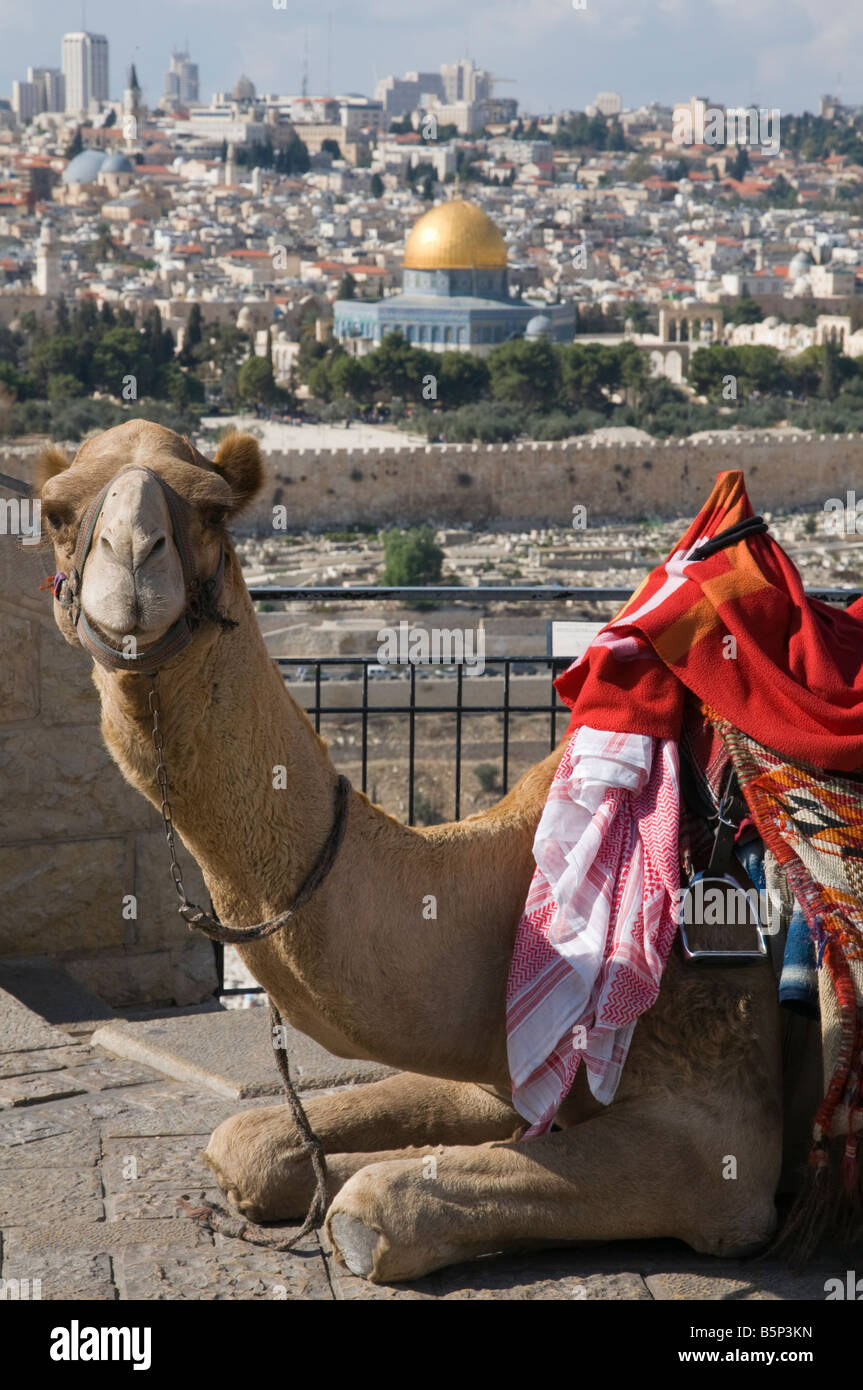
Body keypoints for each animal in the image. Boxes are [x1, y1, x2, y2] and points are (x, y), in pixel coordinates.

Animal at [38, 418, 817, 1285]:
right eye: (54, 511)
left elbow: (378, 1201)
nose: (132, 563)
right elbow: (249, 1142)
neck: (503, 887)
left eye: (211, 509)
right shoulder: (508, 1060)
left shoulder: (717, 1145)